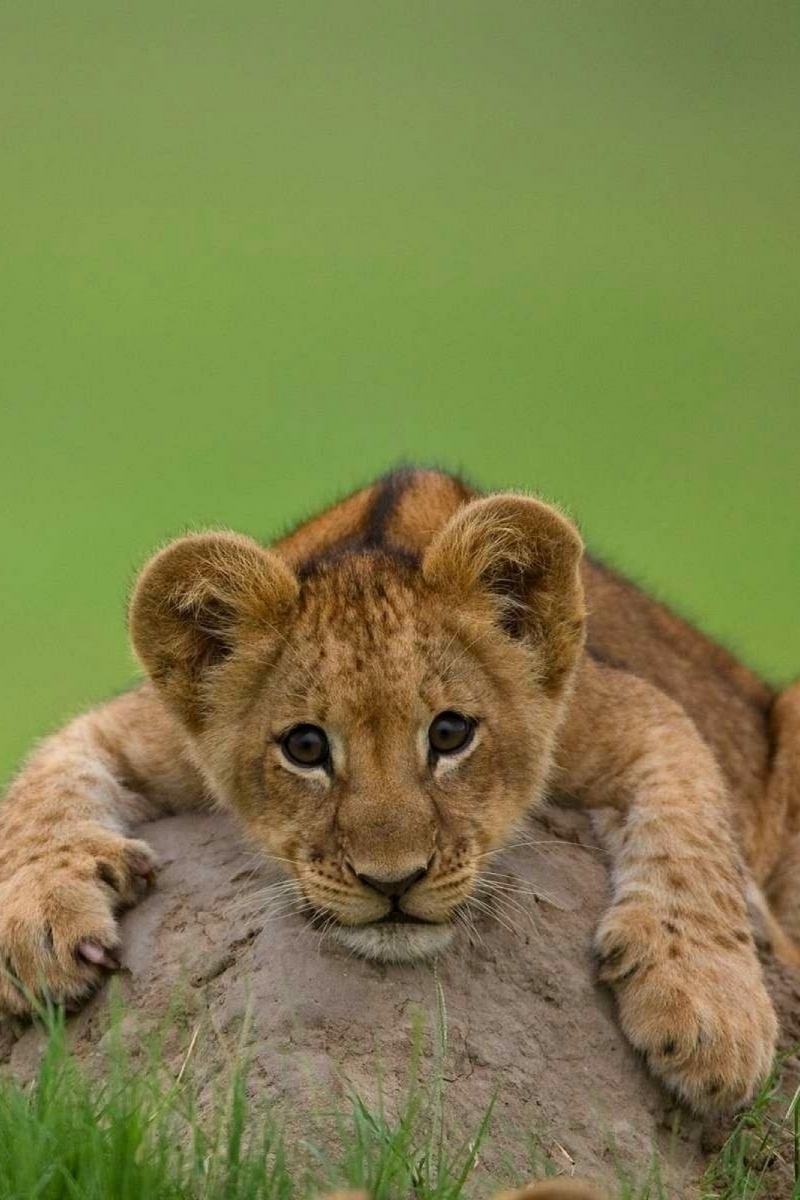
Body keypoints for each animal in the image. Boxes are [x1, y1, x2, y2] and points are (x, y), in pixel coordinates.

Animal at [1, 467, 798, 1114]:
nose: (394, 882)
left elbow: (694, 834)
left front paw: (711, 1011)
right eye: (305, 747)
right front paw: (39, 926)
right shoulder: (139, 728)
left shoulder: (637, 709)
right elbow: (39, 788)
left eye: (450, 734)